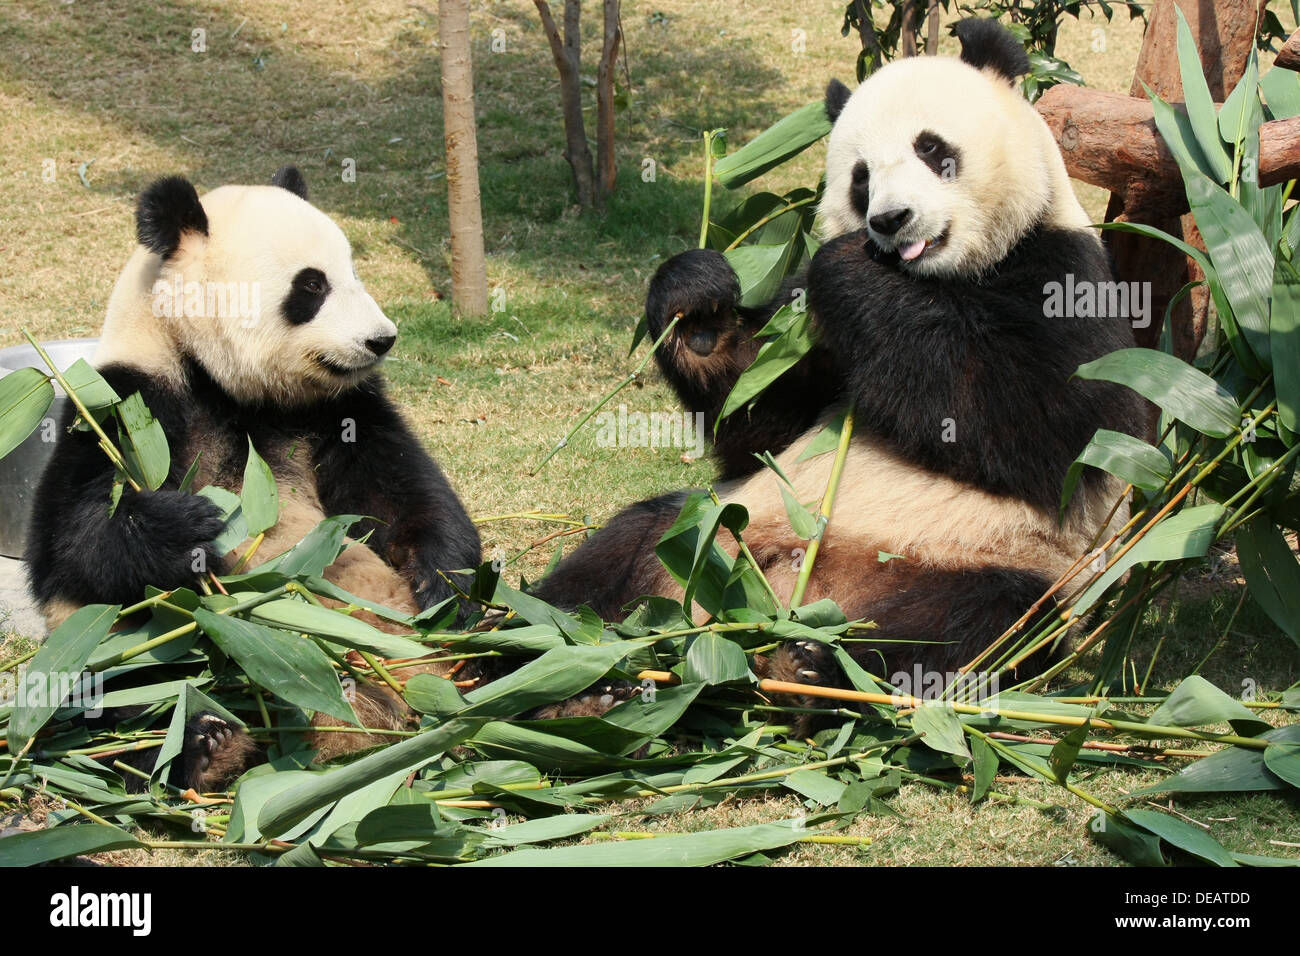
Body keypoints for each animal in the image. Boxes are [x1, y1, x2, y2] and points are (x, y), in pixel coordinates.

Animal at [26, 167, 482, 790]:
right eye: (311, 286)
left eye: (352, 272)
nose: (382, 339)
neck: (220, 379)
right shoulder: (125, 403)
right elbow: (71, 545)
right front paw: (190, 527)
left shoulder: (338, 410)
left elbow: (401, 493)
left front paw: (445, 586)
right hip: (107, 647)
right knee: (118, 683)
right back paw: (205, 745)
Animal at [531, 19, 1147, 712]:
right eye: (860, 176)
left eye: (932, 148)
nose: (890, 219)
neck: (933, 279)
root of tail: (771, 603)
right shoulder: (810, 331)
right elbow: (759, 420)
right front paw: (699, 311)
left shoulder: (1067, 282)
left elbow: (1042, 431)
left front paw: (853, 269)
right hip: (711, 531)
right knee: (625, 547)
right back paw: (542, 655)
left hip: (991, 566)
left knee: (969, 624)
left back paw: (810, 671)